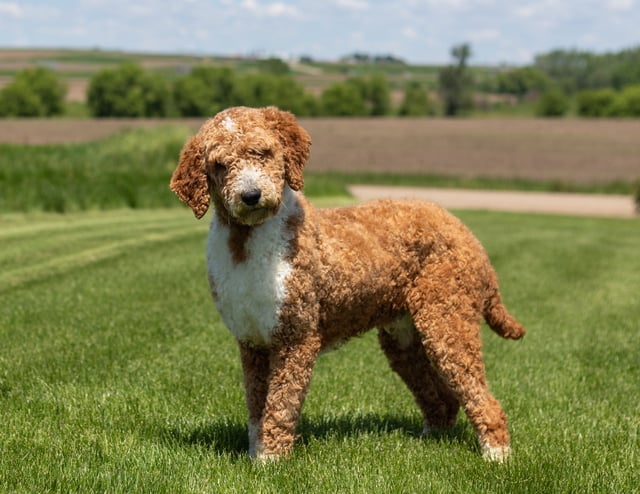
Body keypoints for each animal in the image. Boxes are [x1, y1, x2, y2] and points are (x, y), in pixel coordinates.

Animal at [170, 105, 524, 464]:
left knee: (482, 397)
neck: (246, 242)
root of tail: (464, 230)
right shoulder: (252, 341)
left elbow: (280, 405)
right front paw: (256, 455)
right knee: (441, 397)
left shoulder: (295, 336)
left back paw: (497, 453)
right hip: (405, 339)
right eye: (219, 164)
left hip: (447, 323)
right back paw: (432, 438)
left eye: (263, 151)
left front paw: (271, 460)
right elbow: (257, 406)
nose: (251, 196)